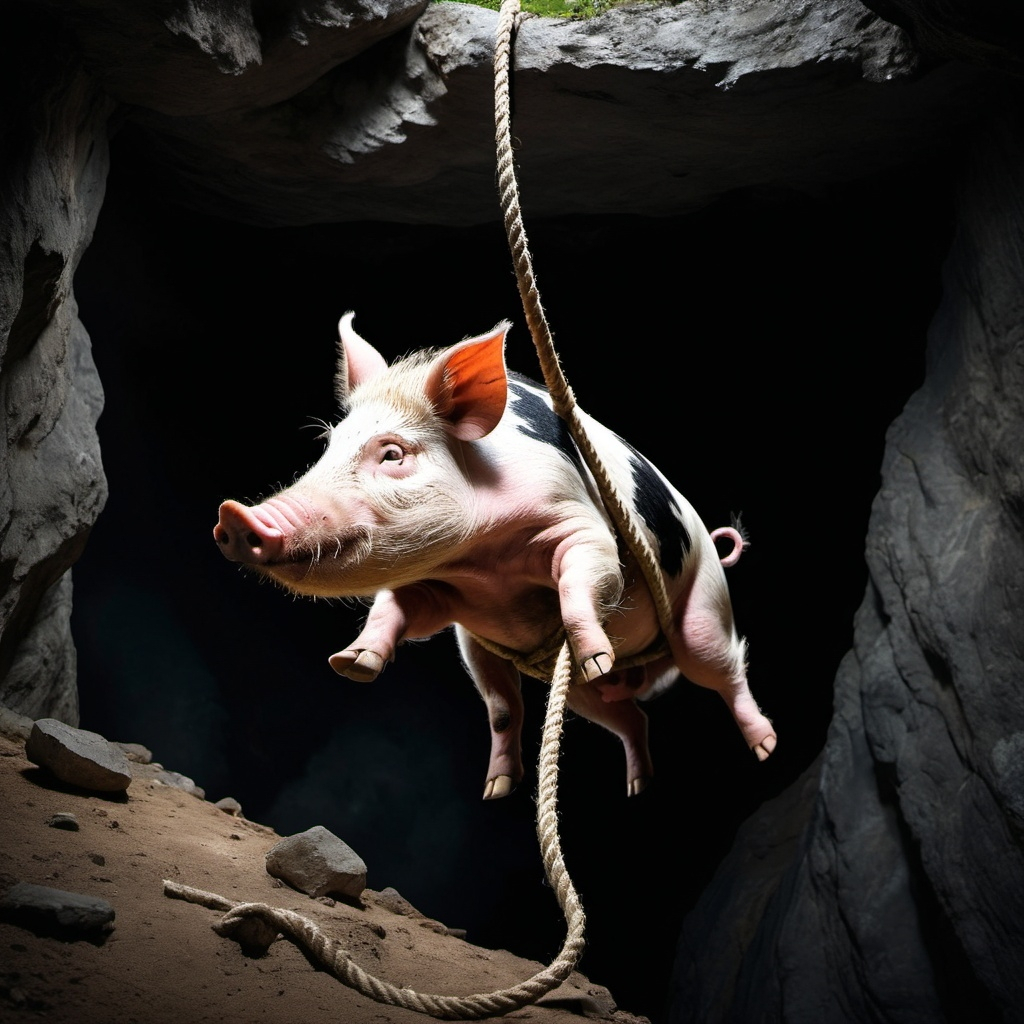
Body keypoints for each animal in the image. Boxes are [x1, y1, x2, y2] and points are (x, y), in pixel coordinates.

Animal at [213, 313, 776, 799]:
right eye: (327, 446)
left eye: (392, 453)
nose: (235, 517)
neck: (484, 567)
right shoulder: (446, 599)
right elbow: (401, 617)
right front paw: (351, 665)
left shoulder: (582, 524)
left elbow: (584, 578)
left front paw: (594, 653)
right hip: (570, 690)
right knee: (613, 715)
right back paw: (628, 782)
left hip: (703, 610)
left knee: (724, 670)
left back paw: (762, 747)